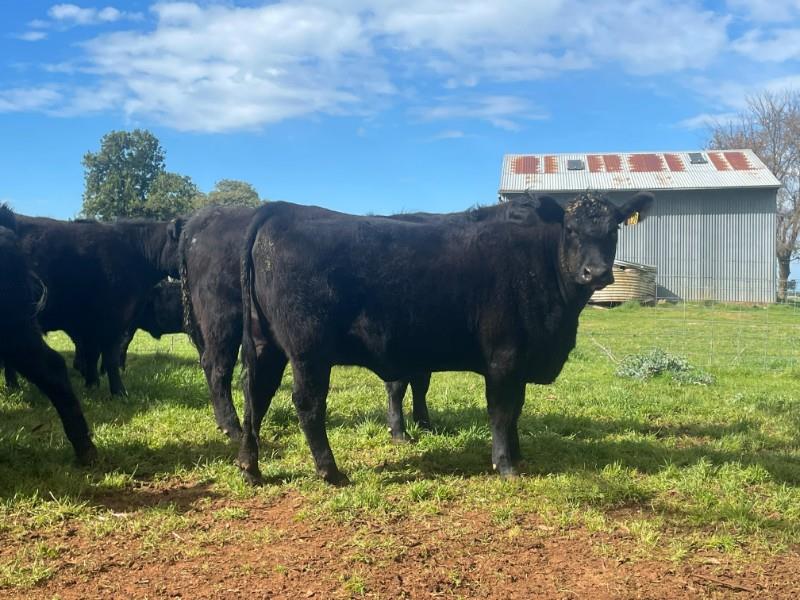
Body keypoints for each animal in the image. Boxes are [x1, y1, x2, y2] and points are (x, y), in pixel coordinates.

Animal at [14, 215, 183, 396]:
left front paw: (92, 383)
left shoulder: (91, 325)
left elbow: (92, 354)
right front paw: (118, 392)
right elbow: (110, 356)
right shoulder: (112, 322)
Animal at [237, 192, 653, 485]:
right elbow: (501, 411)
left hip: (265, 344)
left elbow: (516, 409)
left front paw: (518, 455)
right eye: (571, 230)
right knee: (308, 405)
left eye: (614, 229)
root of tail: (279, 209)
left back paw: (250, 467)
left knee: (256, 395)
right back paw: (331, 472)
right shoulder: (504, 357)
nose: (596, 272)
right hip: (308, 351)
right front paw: (505, 464)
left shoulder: (519, 362)